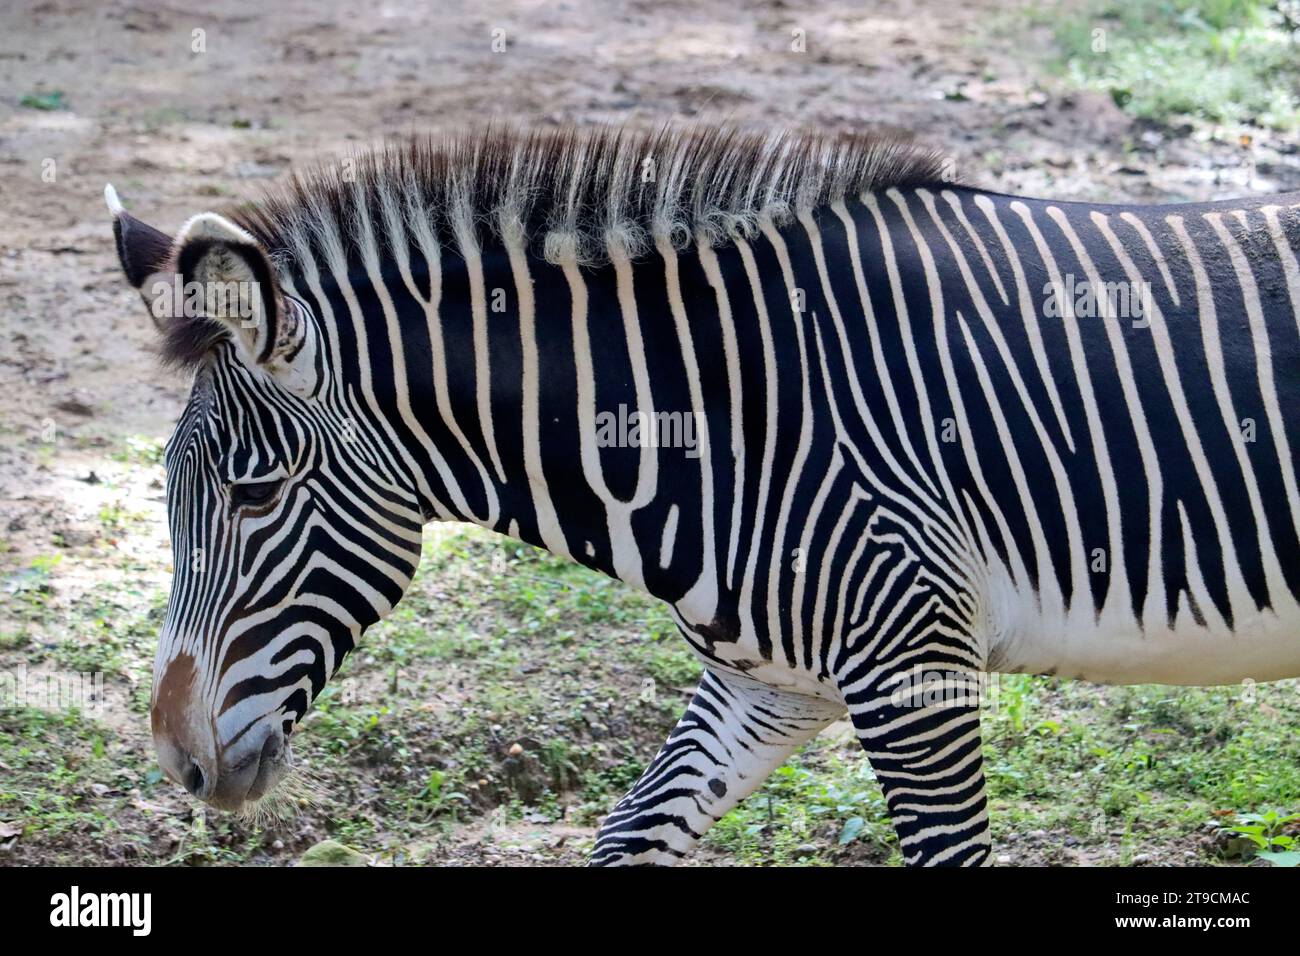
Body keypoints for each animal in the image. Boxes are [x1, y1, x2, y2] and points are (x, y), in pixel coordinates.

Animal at [107, 125, 1300, 866]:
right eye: (165, 490)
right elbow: (627, 835)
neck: (727, 421)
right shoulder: (769, 683)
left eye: (256, 493)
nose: (176, 759)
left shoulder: (915, 669)